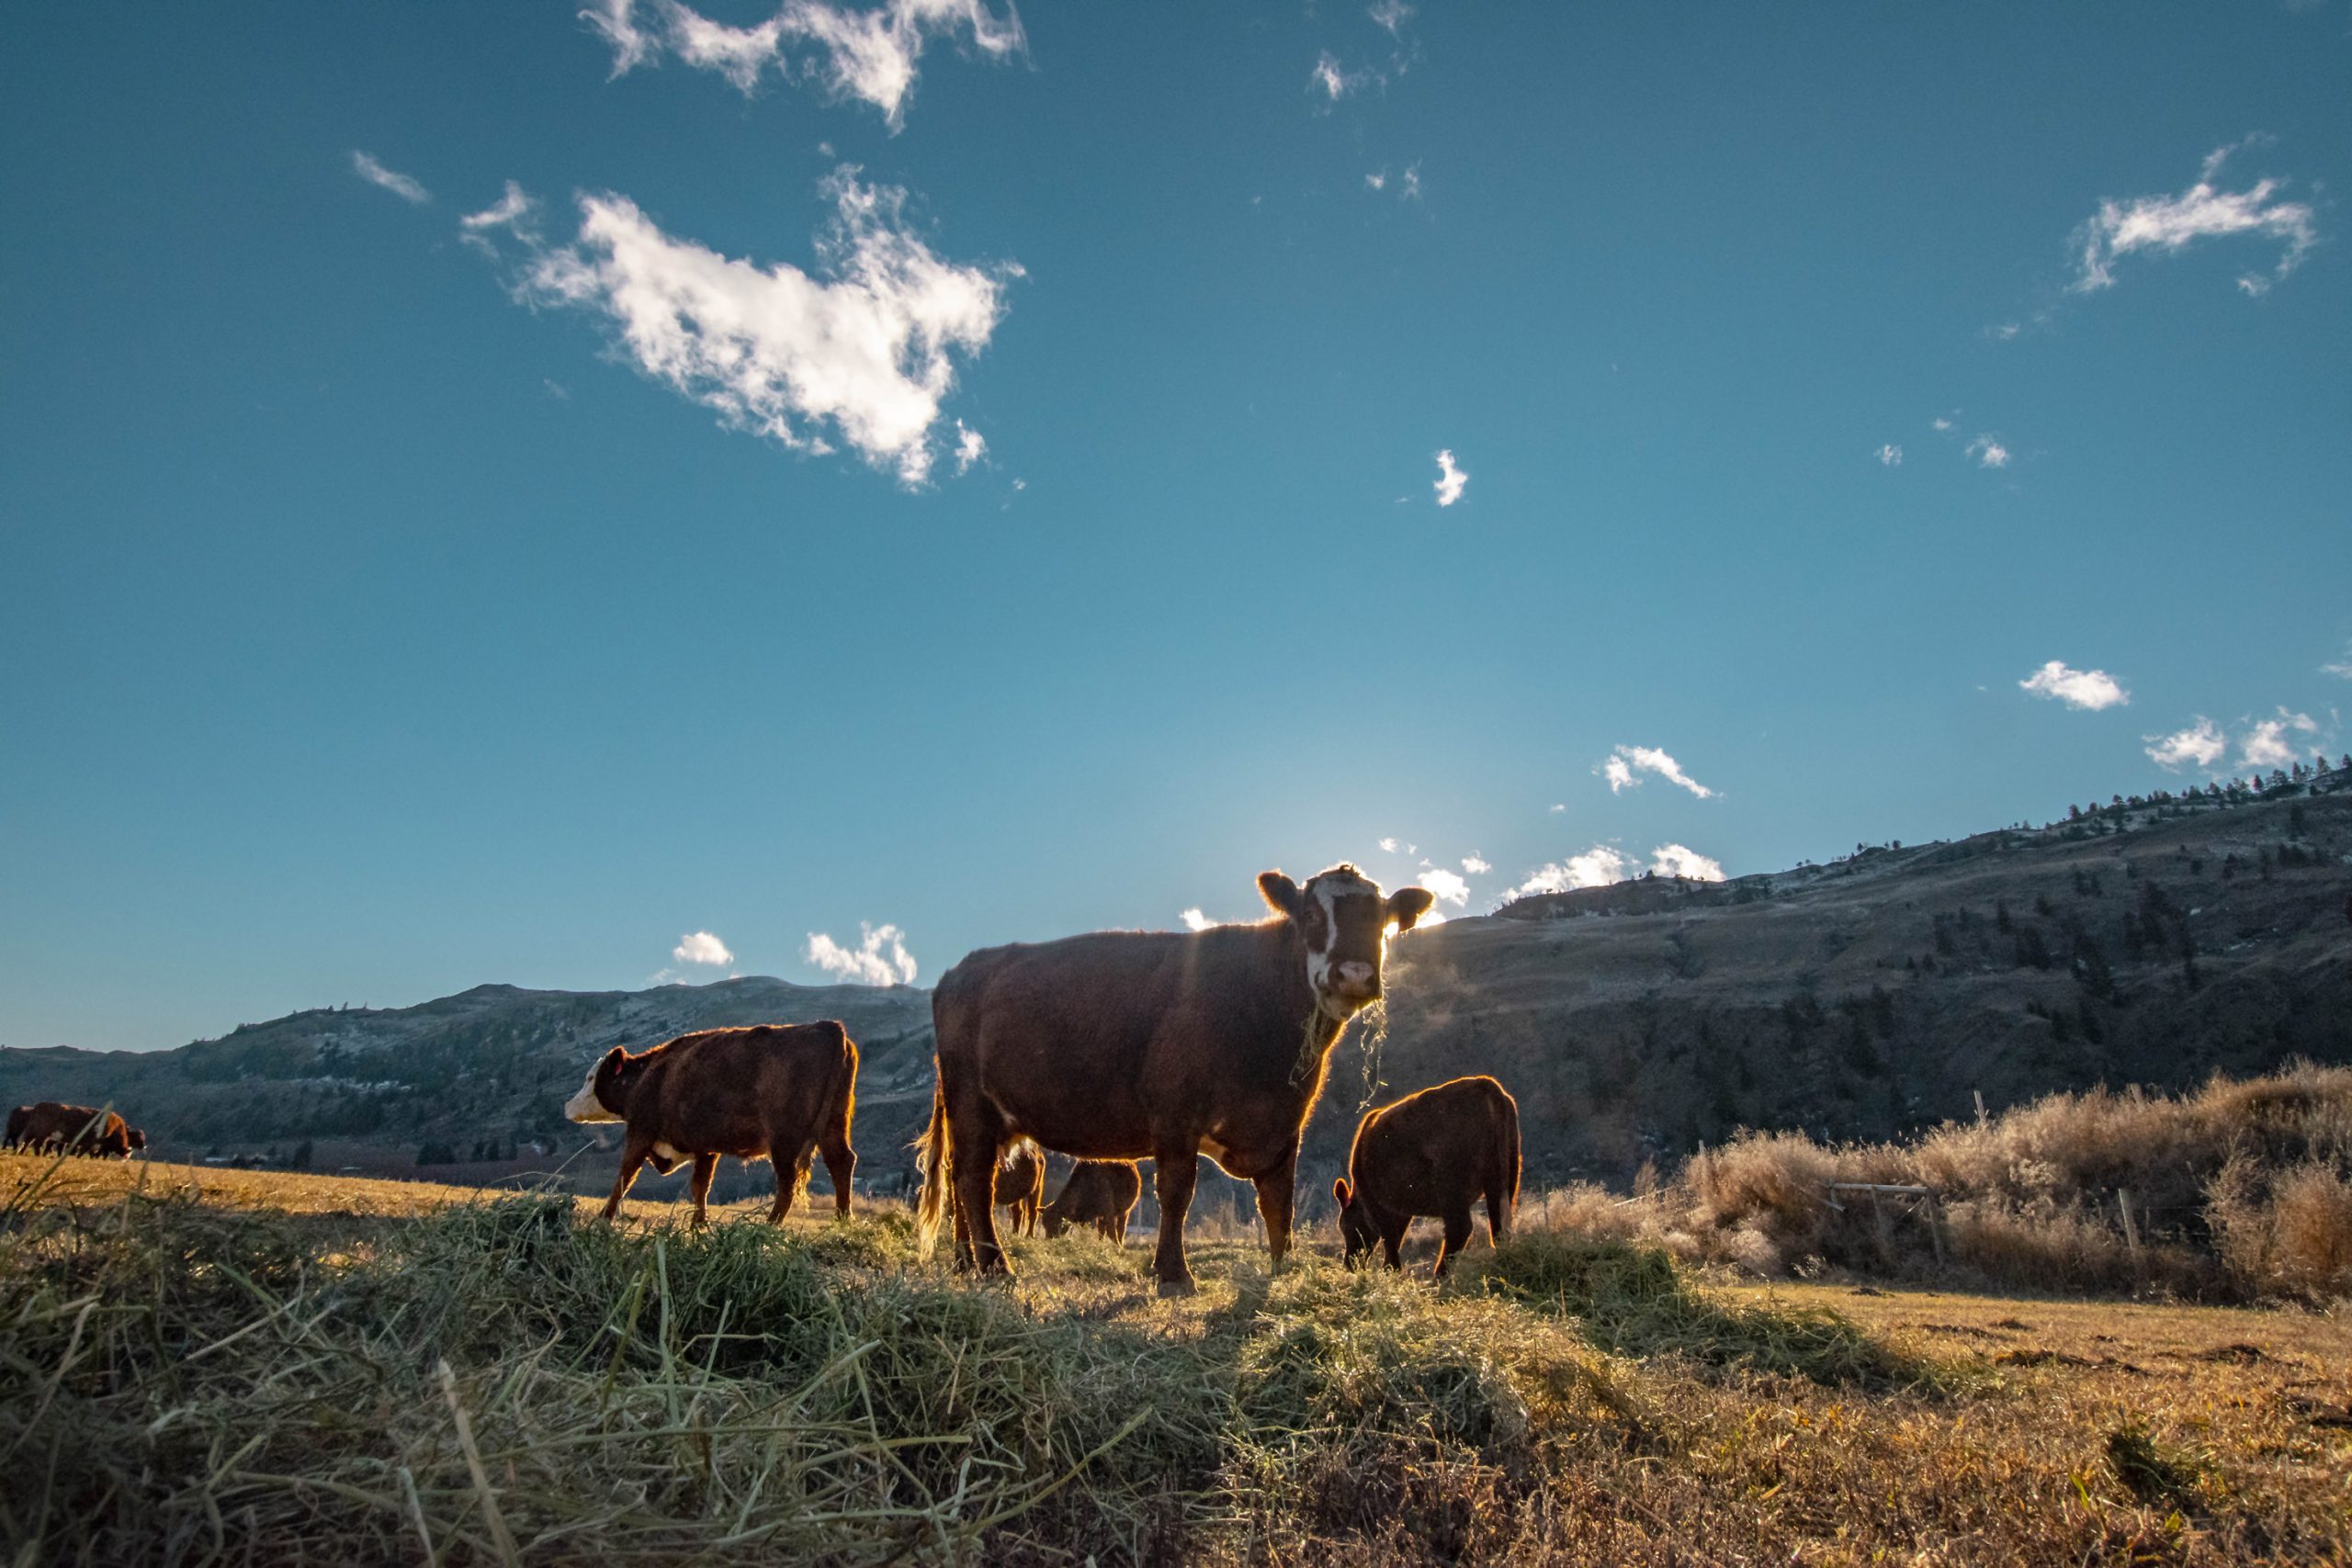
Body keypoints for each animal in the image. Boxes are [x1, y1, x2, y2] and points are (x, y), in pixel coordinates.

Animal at [6, 1102, 142, 1159]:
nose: (126, 1156)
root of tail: (38, 1105)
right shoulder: (90, 1142)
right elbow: (84, 1152)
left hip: (34, 1131)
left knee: (27, 1142)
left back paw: (22, 1152)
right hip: (42, 1133)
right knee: (36, 1144)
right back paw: (37, 1155)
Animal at [563, 1022, 858, 1227]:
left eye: (590, 1077)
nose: (567, 1106)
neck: (648, 1076)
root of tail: (829, 1027)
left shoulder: (640, 1131)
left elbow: (625, 1176)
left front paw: (605, 1215)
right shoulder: (706, 1147)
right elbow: (700, 1186)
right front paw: (699, 1224)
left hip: (785, 1139)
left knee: (787, 1181)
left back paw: (769, 1225)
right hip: (834, 1124)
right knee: (841, 1162)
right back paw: (843, 1220)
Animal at [917, 863, 1436, 1295]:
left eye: (1383, 920)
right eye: (1311, 915)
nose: (1354, 974)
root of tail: (961, 971)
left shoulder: (1286, 1126)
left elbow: (1278, 1203)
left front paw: (1283, 1270)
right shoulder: (1175, 1117)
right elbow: (1176, 1193)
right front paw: (1173, 1274)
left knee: (961, 1179)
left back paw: (965, 1262)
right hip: (972, 1105)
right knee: (974, 1181)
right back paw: (994, 1265)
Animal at [1332, 1075, 1521, 1279]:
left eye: (1345, 1227)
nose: (1349, 1264)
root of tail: (1487, 1085)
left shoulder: (1376, 1200)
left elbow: (1390, 1237)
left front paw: (1390, 1269)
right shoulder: (1401, 1207)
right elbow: (1396, 1237)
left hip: (1452, 1187)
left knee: (1460, 1229)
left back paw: (1439, 1274)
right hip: (1504, 1176)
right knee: (1499, 1227)